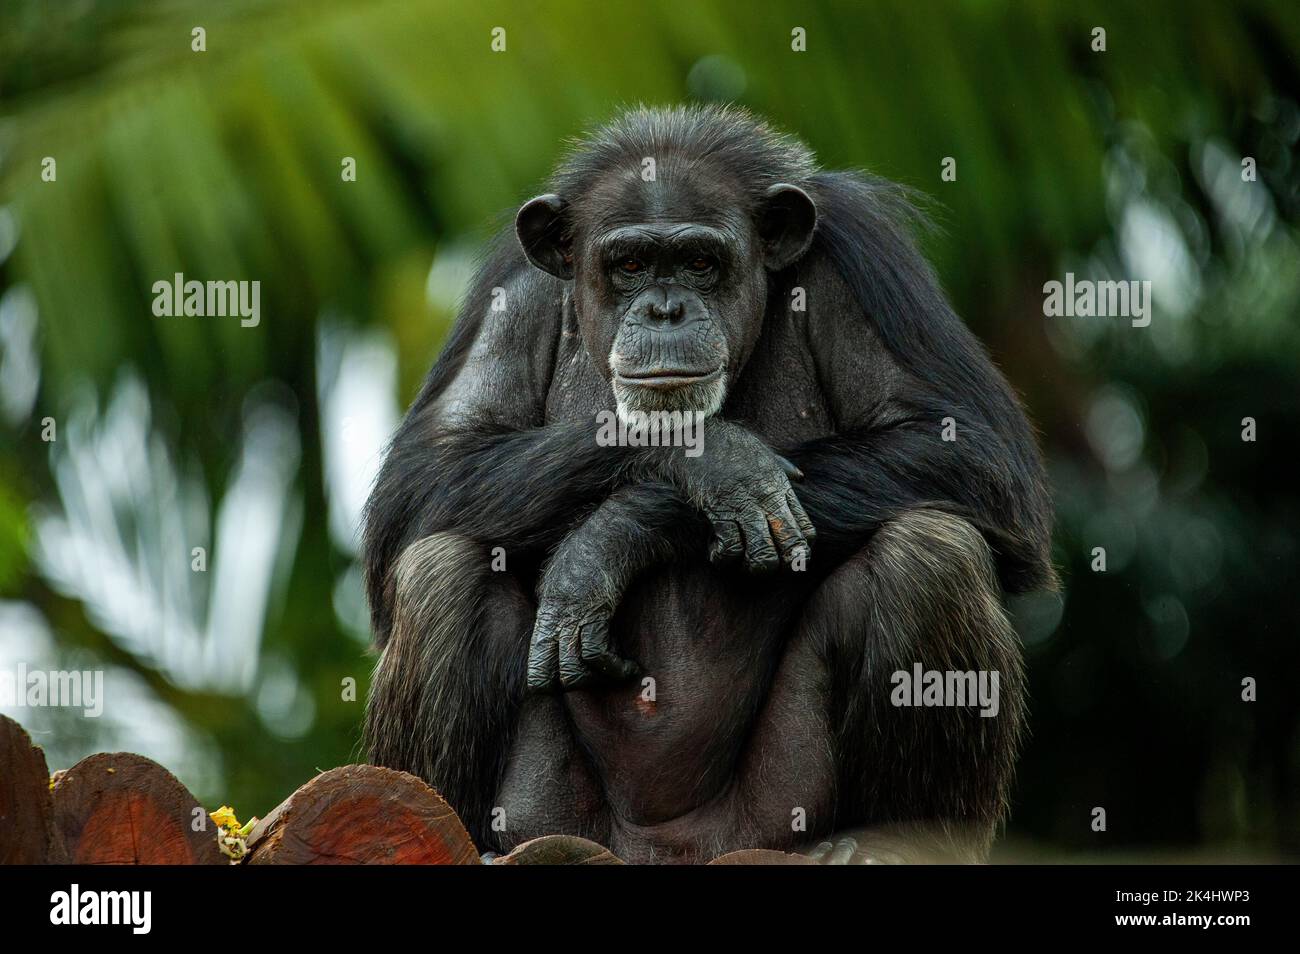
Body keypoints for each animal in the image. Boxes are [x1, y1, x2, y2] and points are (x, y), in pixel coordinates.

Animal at [363, 104, 1053, 864]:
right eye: (630, 265)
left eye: (699, 262)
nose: (665, 310)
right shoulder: (511, 291)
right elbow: (427, 471)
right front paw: (711, 459)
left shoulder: (863, 255)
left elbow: (969, 448)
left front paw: (612, 540)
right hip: (552, 819)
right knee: (442, 568)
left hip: (774, 814)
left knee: (933, 552)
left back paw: (886, 840)